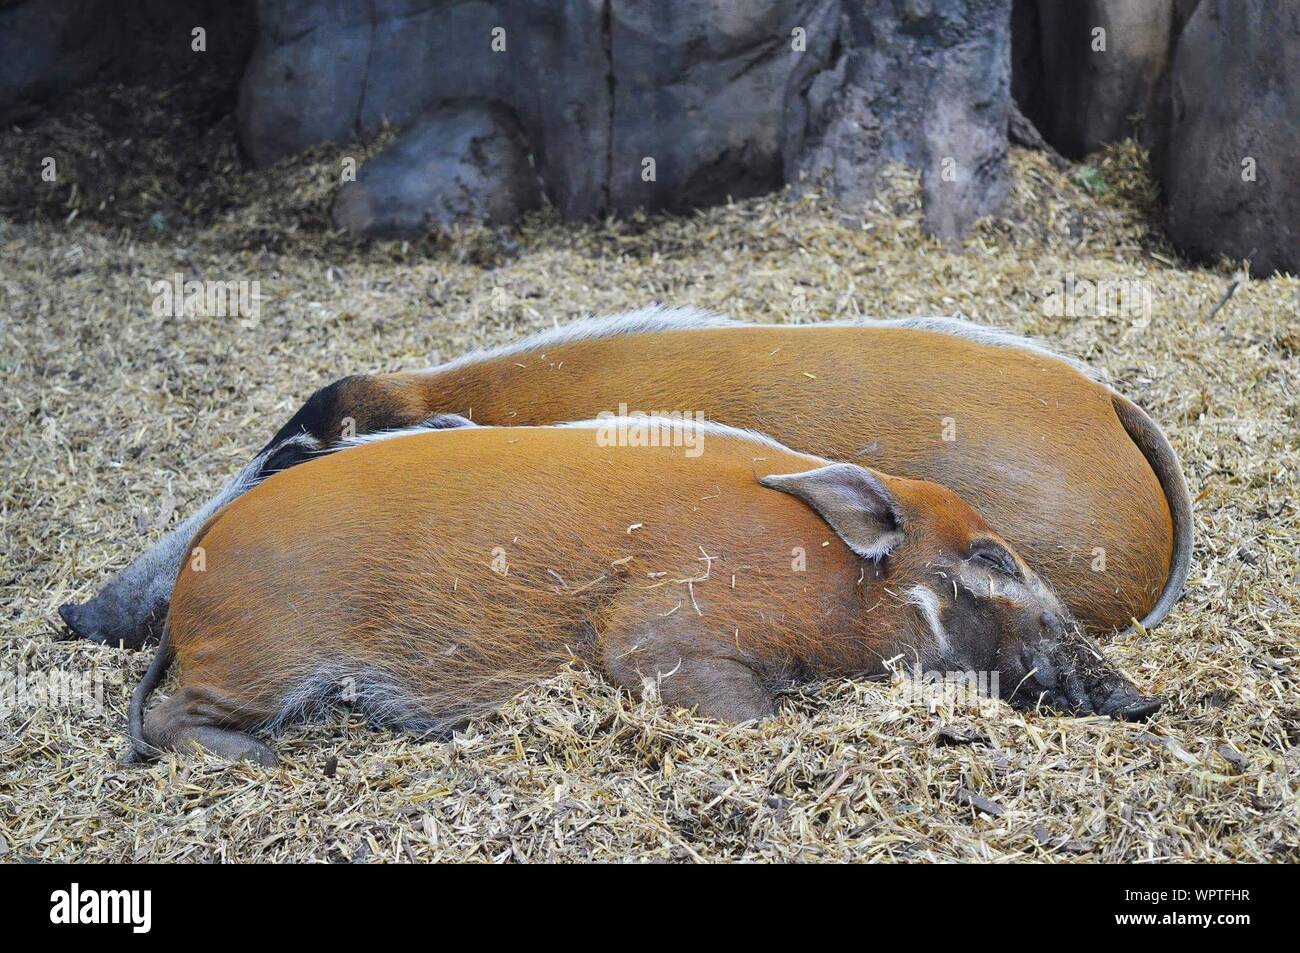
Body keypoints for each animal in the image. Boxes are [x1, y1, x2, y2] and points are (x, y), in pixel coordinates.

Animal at [126, 416, 1159, 766]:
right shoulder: (663, 637)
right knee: (170, 717)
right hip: (260, 658)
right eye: (992, 557)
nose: (1143, 699)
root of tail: (191, 578)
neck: (828, 579)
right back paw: (268, 762)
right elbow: (746, 712)